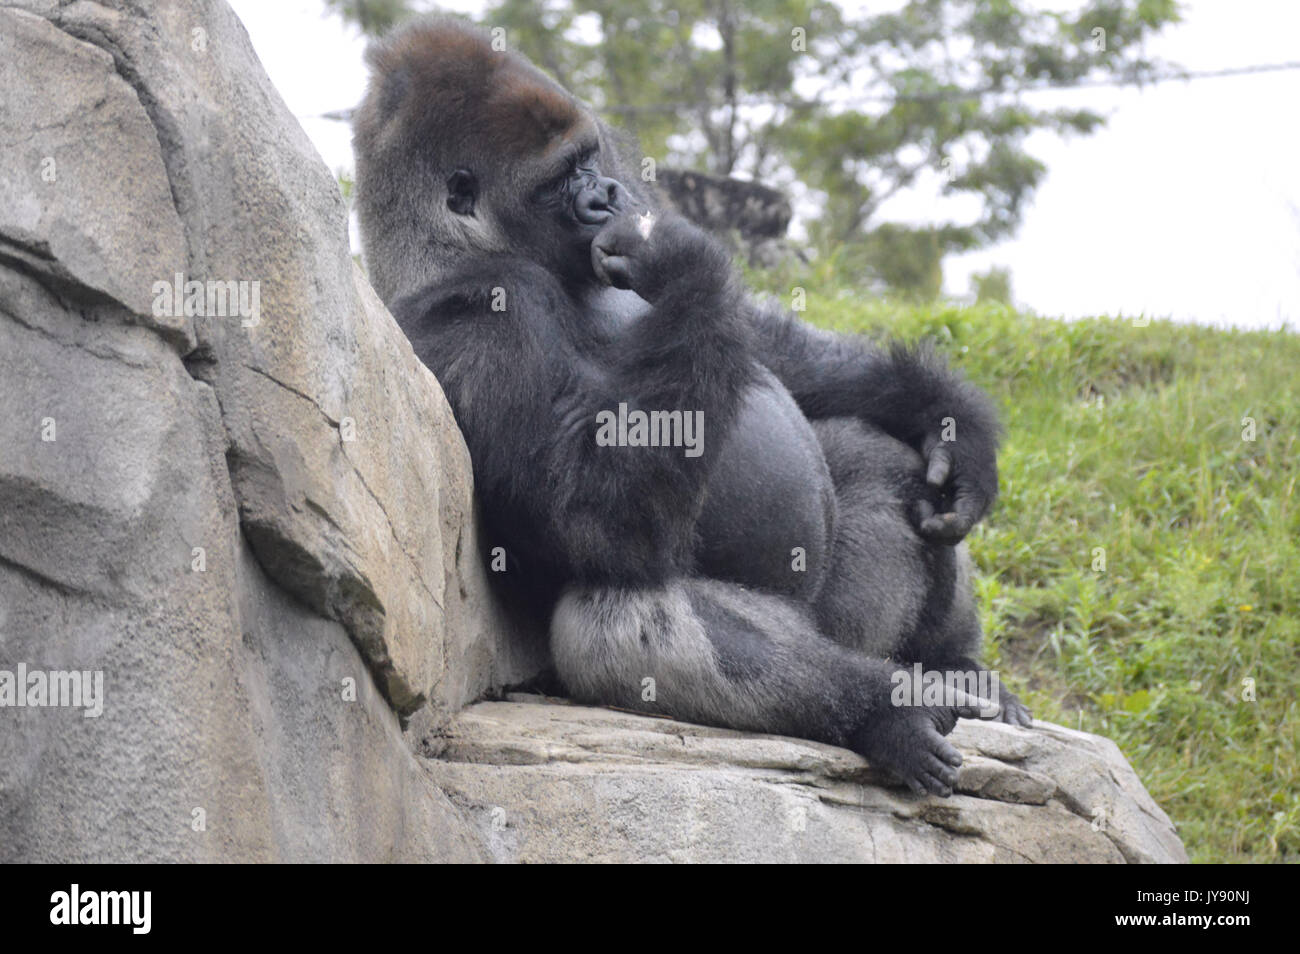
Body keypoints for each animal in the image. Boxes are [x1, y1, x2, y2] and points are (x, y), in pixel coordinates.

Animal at [352, 17, 1031, 798]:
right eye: (560, 181)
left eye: (589, 158)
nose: (609, 194)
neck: (446, 246)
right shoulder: (476, 320)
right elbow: (592, 517)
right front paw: (686, 267)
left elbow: (765, 346)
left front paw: (949, 416)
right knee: (620, 617)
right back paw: (881, 709)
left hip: (840, 617)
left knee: (881, 460)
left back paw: (954, 665)